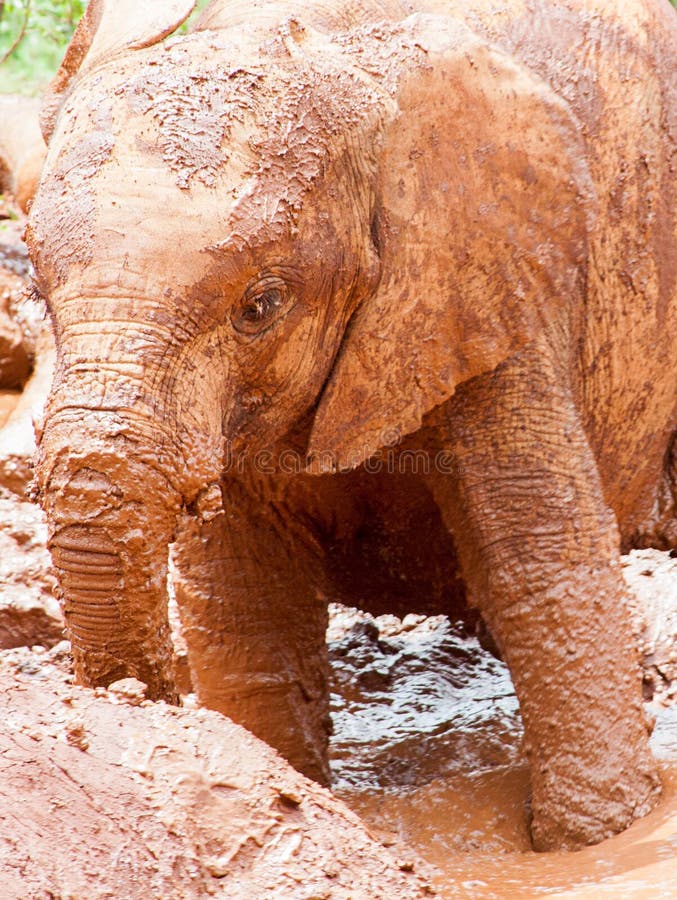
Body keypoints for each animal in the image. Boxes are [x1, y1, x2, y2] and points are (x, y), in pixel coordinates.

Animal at [27, 0, 676, 852]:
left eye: (260, 305)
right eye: (38, 287)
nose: (134, 703)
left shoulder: (498, 284)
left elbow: (539, 559)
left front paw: (596, 843)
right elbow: (245, 598)